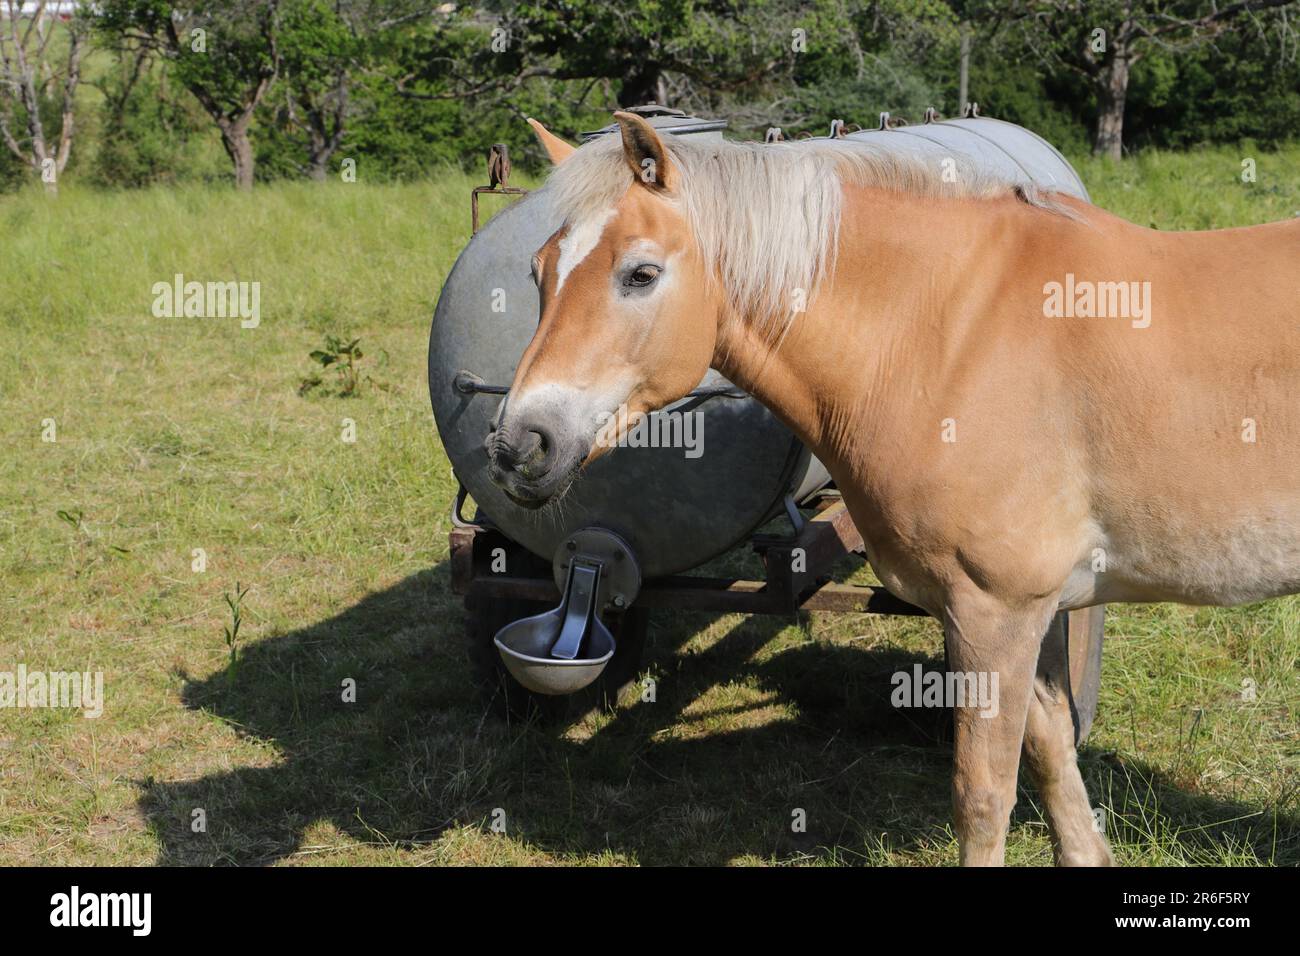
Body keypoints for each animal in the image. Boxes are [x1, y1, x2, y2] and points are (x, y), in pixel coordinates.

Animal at [485, 112, 1300, 866]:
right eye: (538, 270)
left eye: (641, 273)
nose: (519, 444)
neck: (946, 334)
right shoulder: (1035, 611)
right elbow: (1054, 759)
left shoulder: (994, 614)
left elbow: (983, 797)